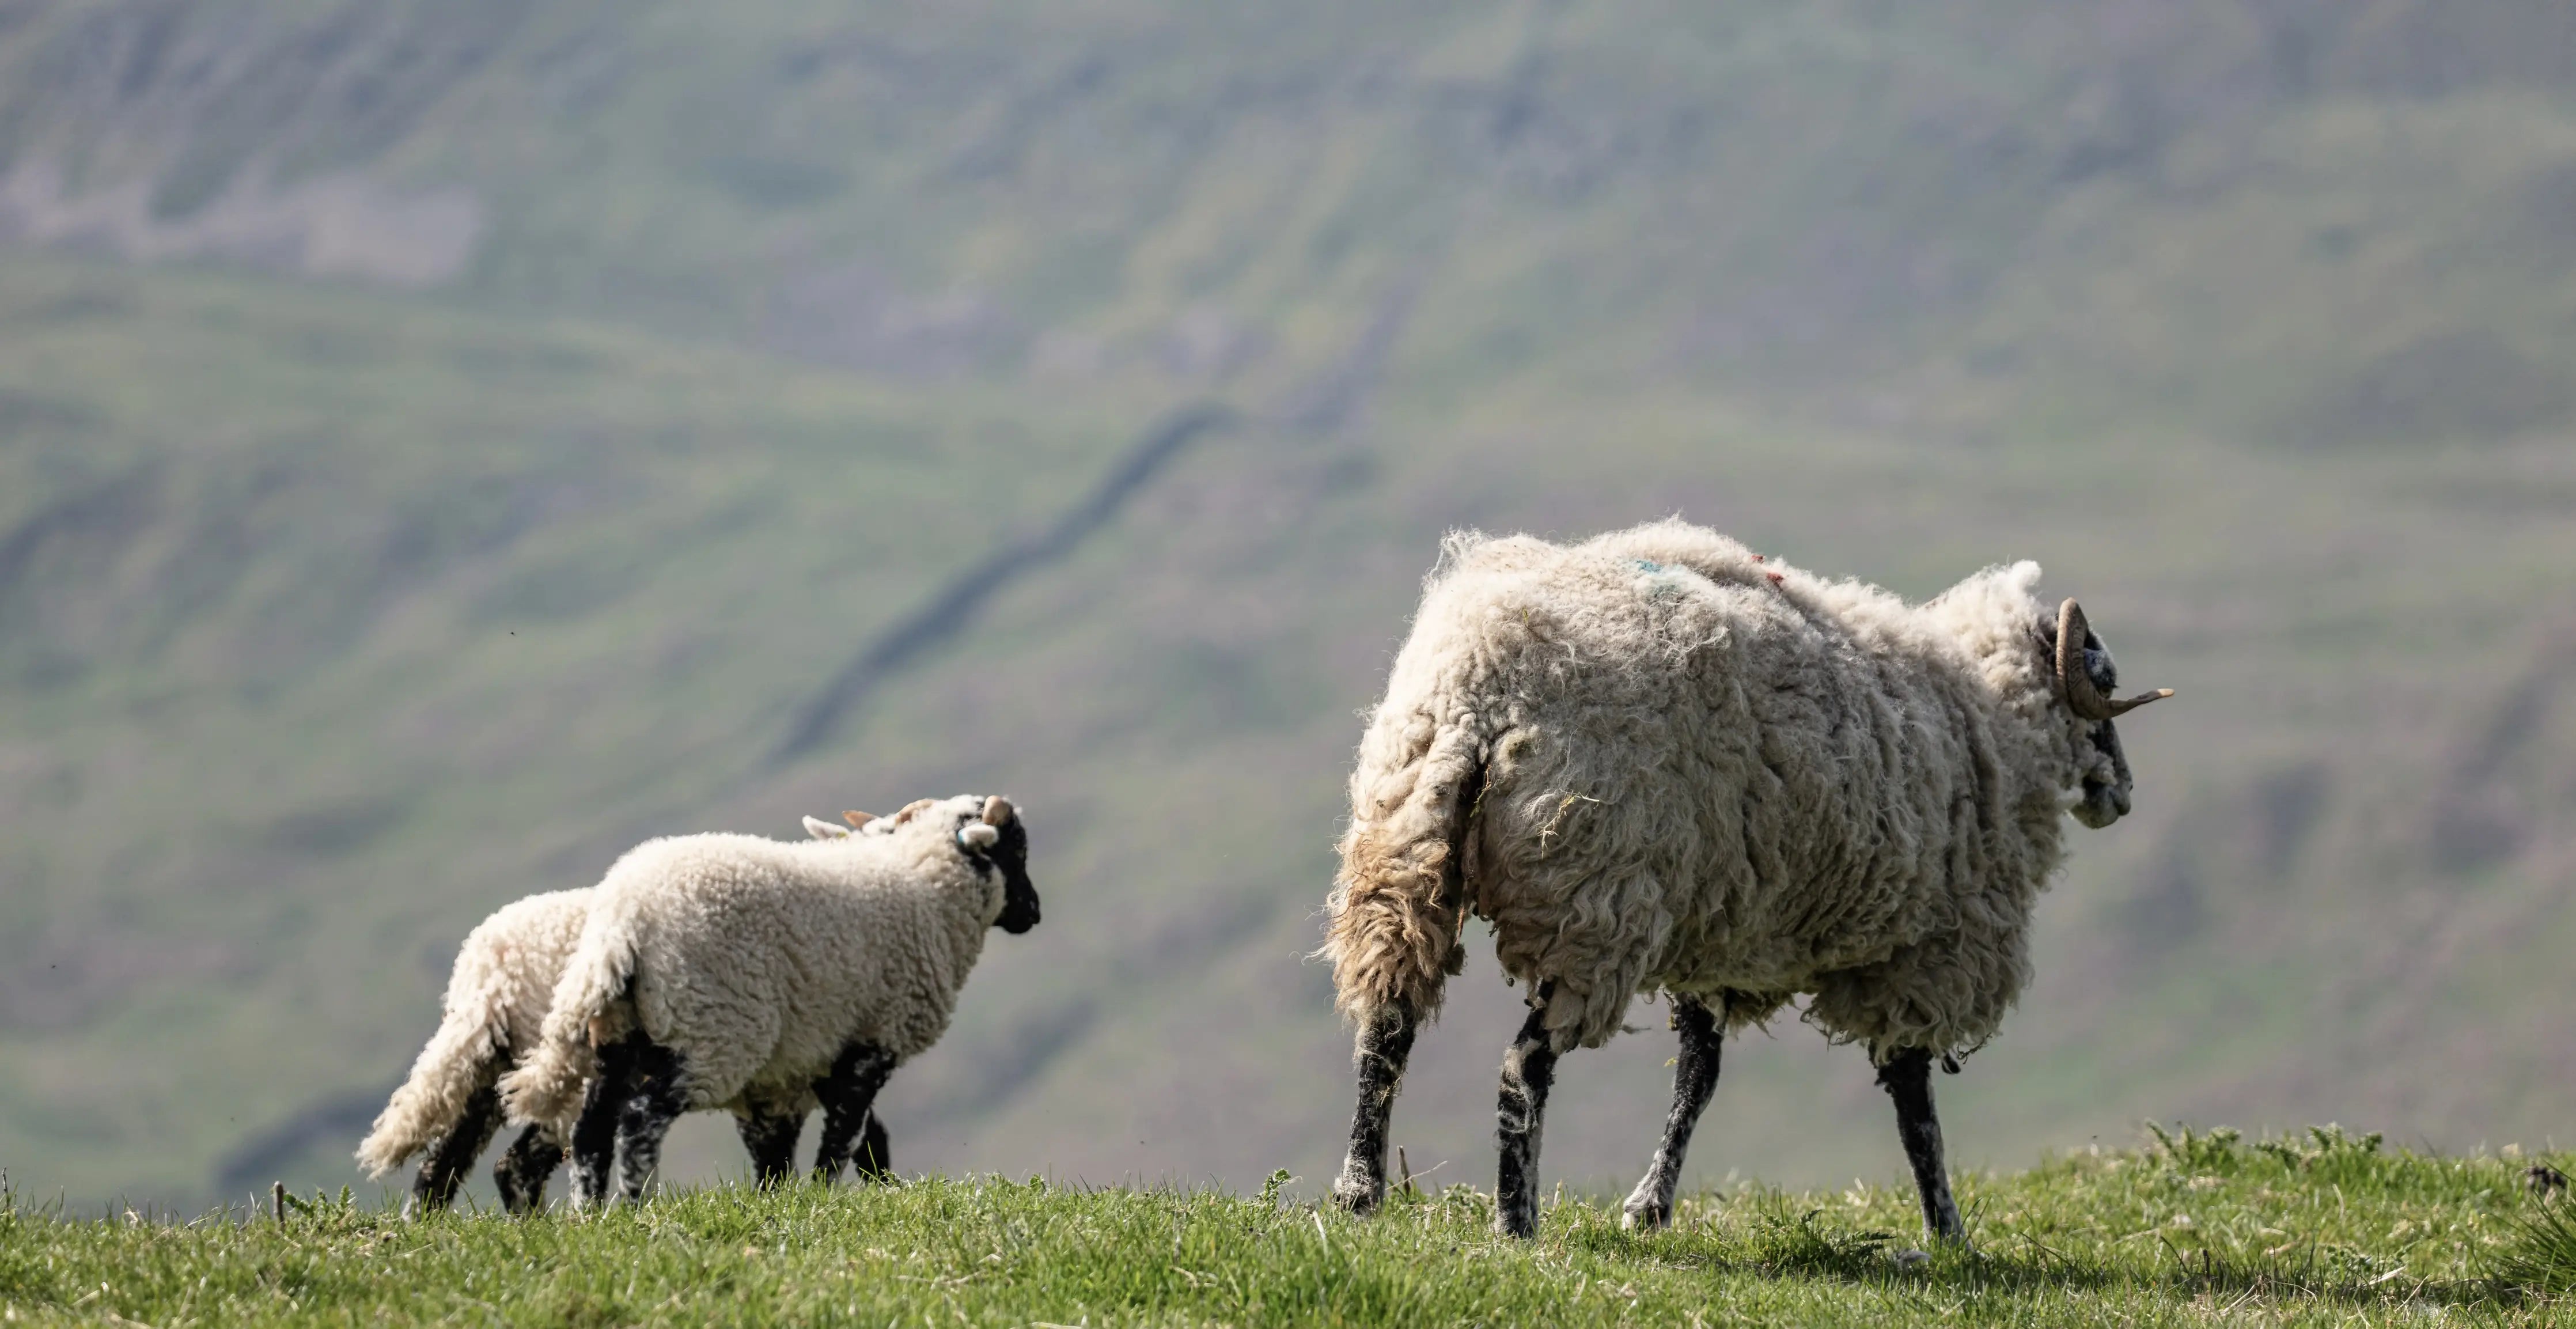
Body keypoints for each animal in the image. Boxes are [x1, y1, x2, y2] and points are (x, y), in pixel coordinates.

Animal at [356, 814, 892, 1213]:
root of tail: (486, 973)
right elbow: (859, 1131)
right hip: (562, 1068)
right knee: (525, 1158)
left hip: (496, 1066)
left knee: (449, 1162)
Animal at [499, 794, 1036, 1208]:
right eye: (1017, 848)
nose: (1034, 912)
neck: (923, 886)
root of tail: (621, 921)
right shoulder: (871, 1042)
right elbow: (843, 1139)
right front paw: (825, 1197)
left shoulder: (806, 1065)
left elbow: (831, 1148)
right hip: (712, 1033)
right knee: (639, 1120)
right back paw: (636, 1206)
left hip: (621, 1036)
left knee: (589, 1131)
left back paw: (589, 1213)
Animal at [1319, 520, 2170, 1242]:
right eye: (2102, 676)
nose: (2124, 795)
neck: (1994, 720)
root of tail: (1481, 680)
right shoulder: (1920, 953)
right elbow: (1913, 1103)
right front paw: (1949, 1232)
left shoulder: (1719, 929)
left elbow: (1699, 1077)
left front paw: (1649, 1208)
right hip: (1591, 900)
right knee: (1521, 1065)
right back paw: (1513, 1220)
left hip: (1401, 854)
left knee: (1386, 1026)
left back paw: (1359, 1194)